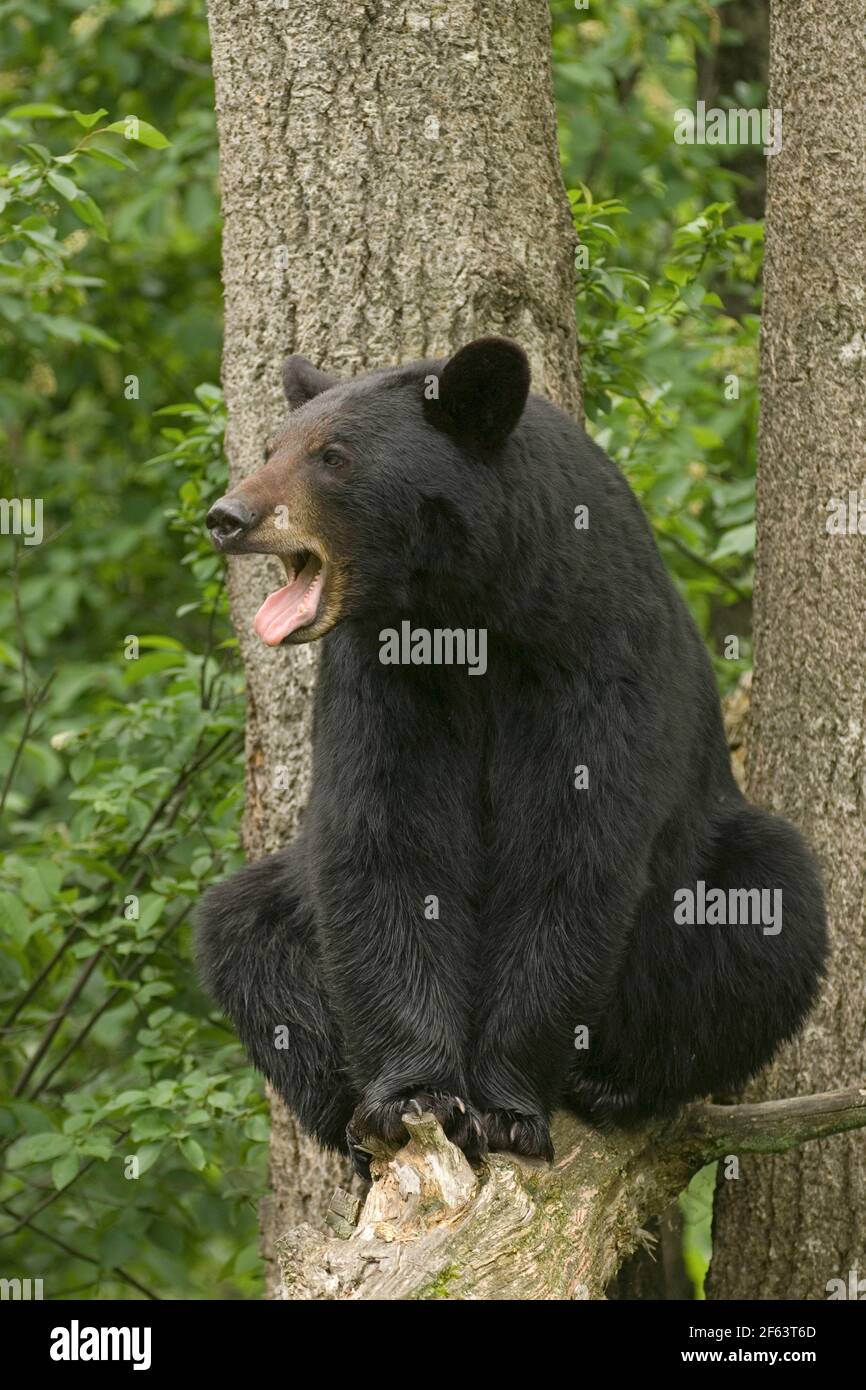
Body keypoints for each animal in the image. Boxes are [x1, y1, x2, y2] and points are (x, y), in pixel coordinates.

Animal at [197, 336, 827, 1176]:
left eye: (333, 456)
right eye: (271, 447)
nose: (228, 516)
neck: (466, 614)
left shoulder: (592, 648)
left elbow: (571, 852)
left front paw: (505, 1109)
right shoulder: (385, 676)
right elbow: (387, 844)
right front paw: (414, 1096)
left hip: (698, 894)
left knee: (771, 906)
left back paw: (614, 1083)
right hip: (283, 914)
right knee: (245, 932)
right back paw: (351, 1126)